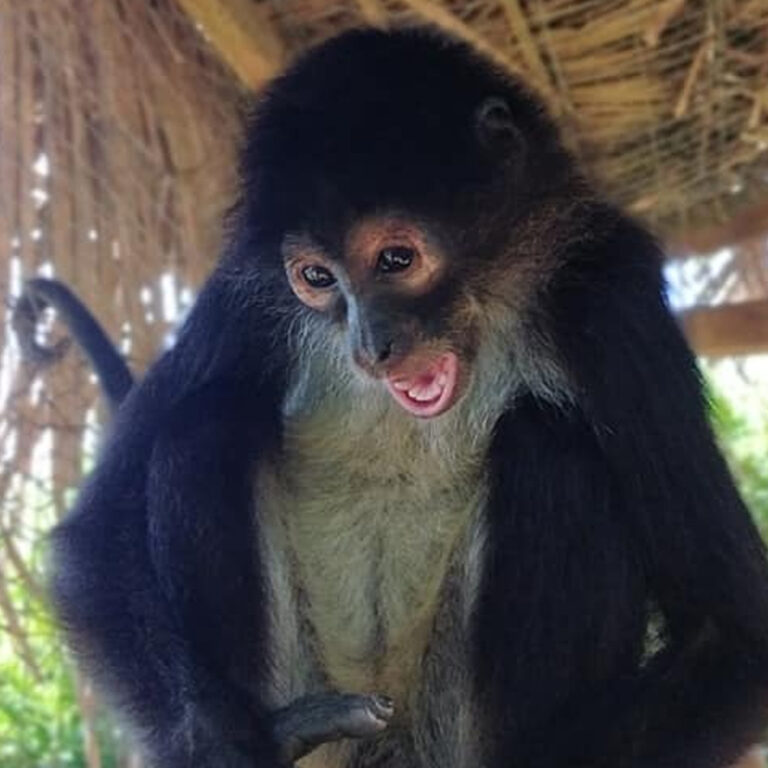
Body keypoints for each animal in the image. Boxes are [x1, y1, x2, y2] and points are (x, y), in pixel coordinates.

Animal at [44, 27, 768, 768]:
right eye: (317, 278)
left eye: (397, 260)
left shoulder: (606, 289)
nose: (371, 345)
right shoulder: (244, 291)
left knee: (551, 444)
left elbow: (734, 634)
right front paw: (224, 748)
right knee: (206, 422)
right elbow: (95, 539)